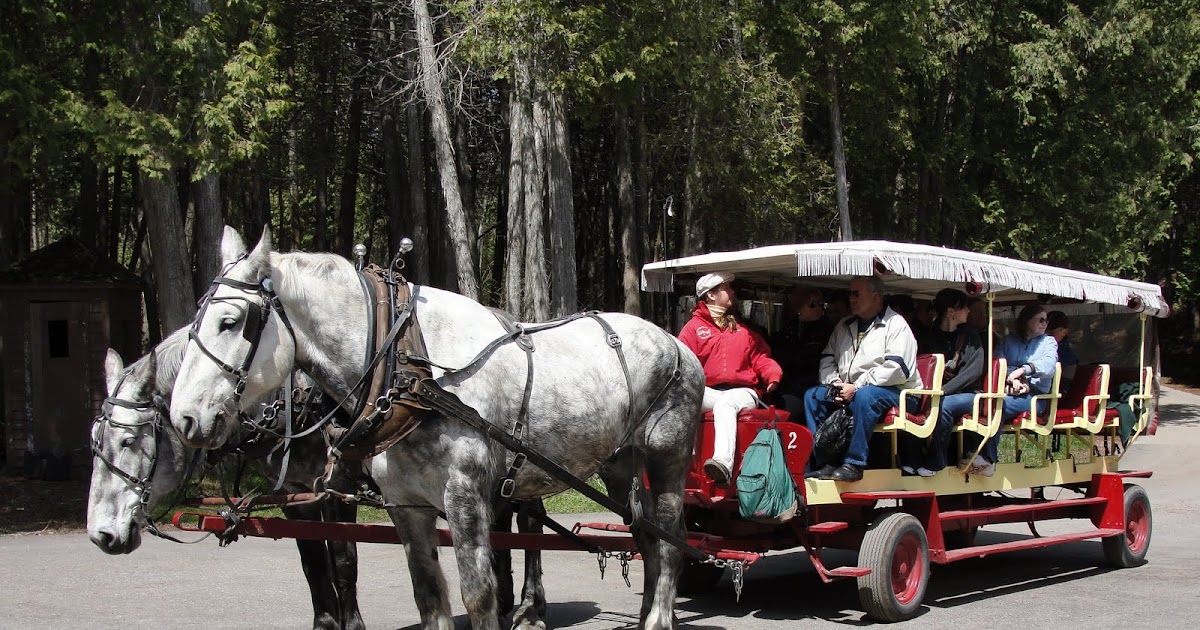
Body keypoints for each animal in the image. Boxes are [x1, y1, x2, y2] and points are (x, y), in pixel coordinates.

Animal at [87, 328, 367, 630]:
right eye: (93, 440)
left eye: (128, 441)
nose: (101, 535)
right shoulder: (294, 495)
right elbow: (314, 564)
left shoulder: (337, 489)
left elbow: (343, 562)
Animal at [168, 226, 706, 630]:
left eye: (232, 321)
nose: (185, 418)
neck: (406, 368)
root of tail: (677, 345)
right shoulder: (405, 505)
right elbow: (428, 595)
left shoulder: (464, 496)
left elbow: (478, 595)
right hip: (618, 465)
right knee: (647, 536)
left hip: (668, 456)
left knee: (671, 539)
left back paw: (657, 619)